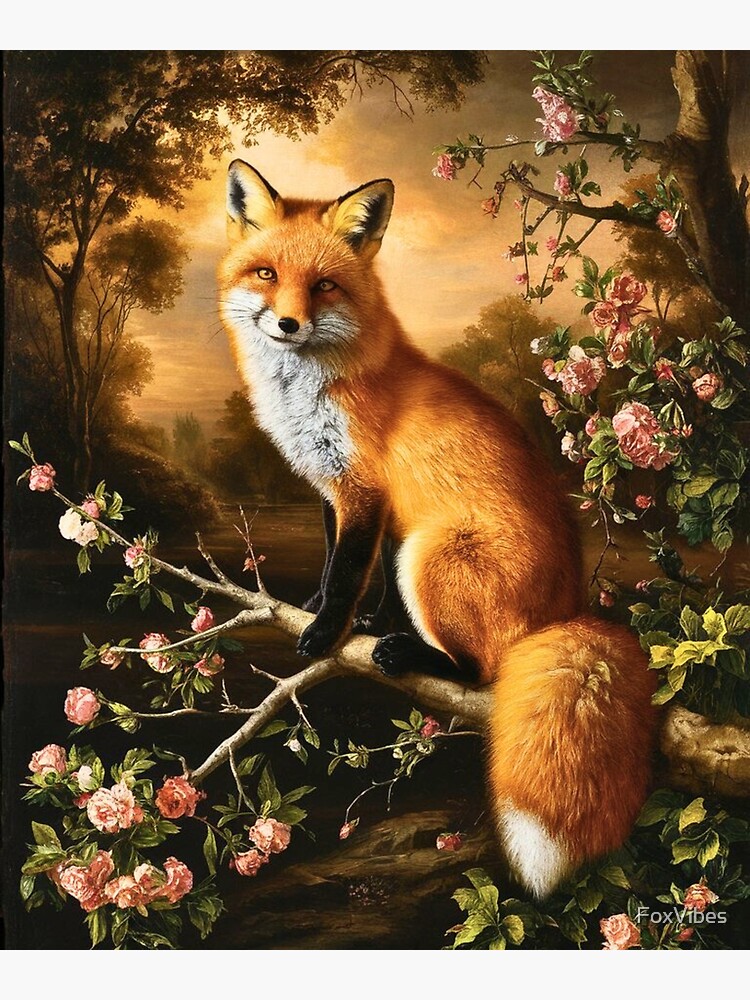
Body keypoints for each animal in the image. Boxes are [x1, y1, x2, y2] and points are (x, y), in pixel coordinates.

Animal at [218, 159, 658, 899]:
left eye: (324, 284)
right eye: (266, 273)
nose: (287, 323)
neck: (312, 392)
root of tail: (566, 612)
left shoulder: (365, 490)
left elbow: (347, 575)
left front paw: (326, 631)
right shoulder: (334, 490)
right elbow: (339, 566)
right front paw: (332, 614)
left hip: (428, 555)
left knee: (483, 671)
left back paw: (415, 655)